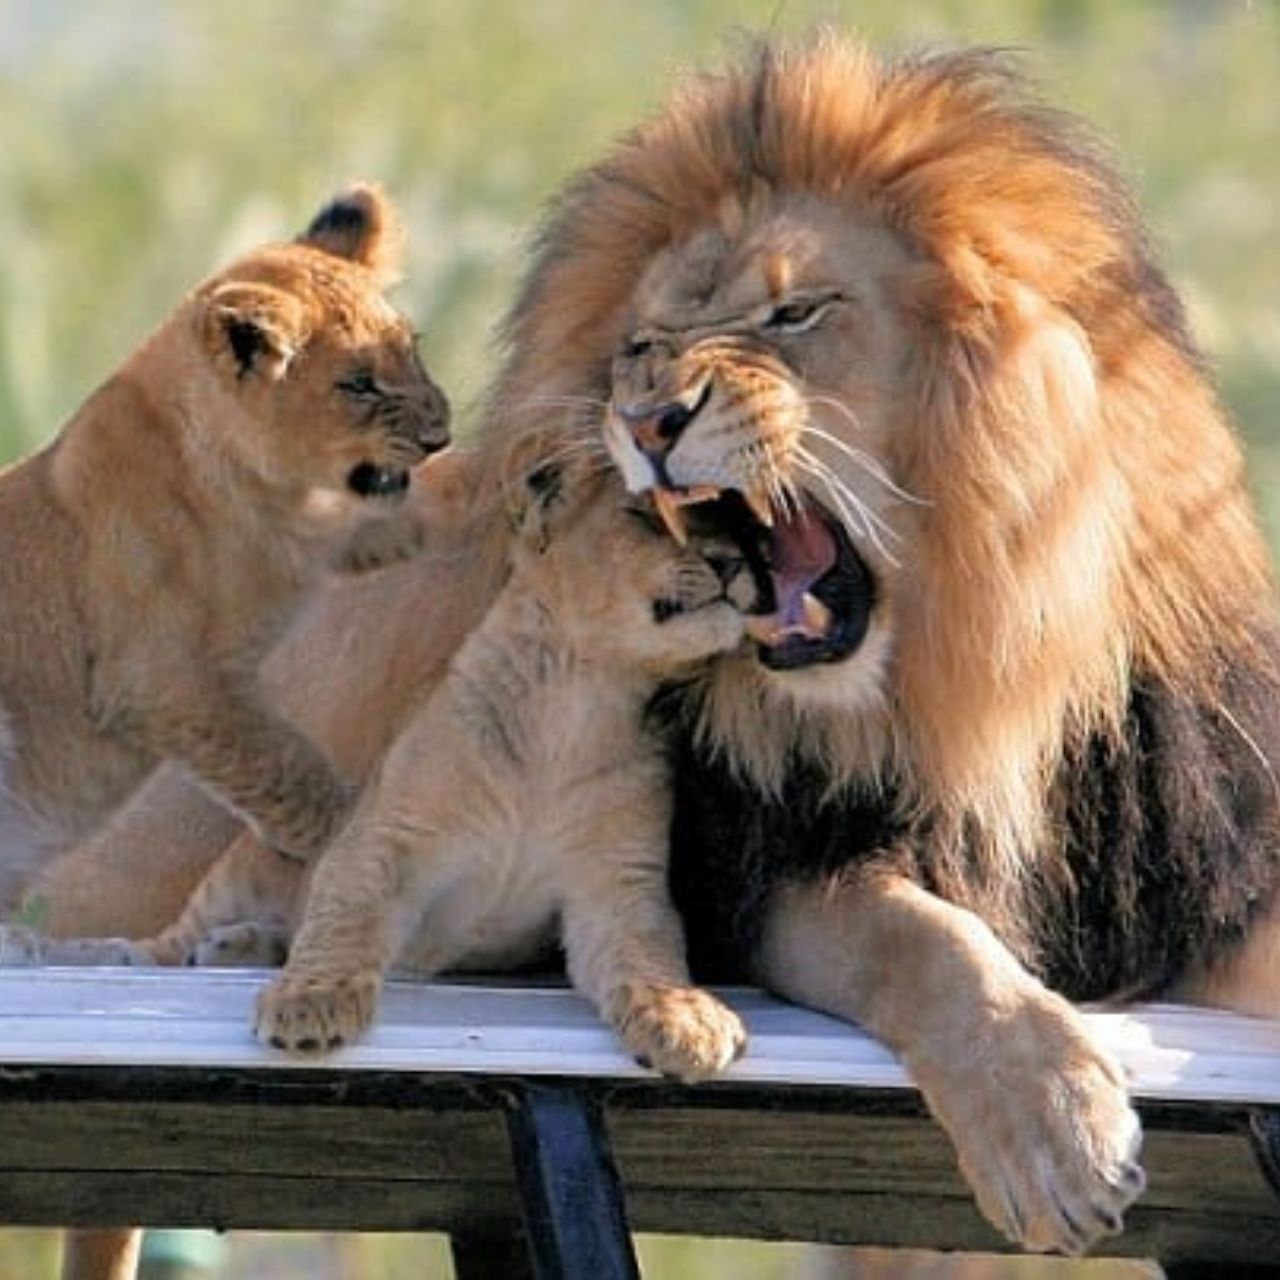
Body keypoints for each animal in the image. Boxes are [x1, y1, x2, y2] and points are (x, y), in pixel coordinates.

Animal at [0, 182, 450, 924]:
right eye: (358, 384)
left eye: (411, 349)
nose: (442, 433)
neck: (270, 495)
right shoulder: (160, 679)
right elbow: (282, 766)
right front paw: (345, 834)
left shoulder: (334, 536)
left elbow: (447, 498)